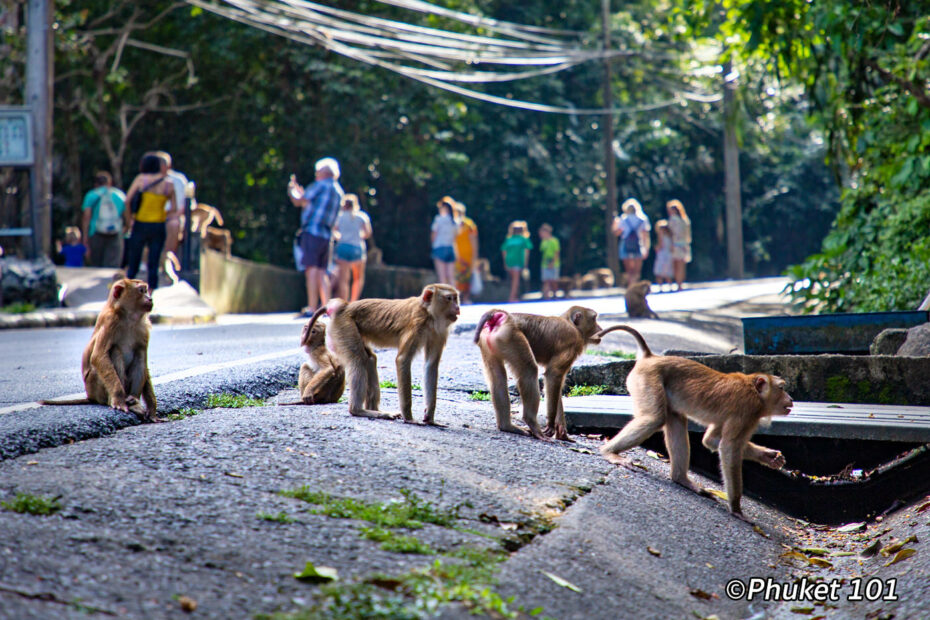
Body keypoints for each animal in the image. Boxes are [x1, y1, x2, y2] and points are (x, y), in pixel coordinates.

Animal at [41, 278, 157, 421]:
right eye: (141, 290)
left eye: (146, 290)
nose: (150, 298)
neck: (128, 317)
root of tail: (90, 396)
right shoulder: (110, 322)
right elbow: (99, 356)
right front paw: (118, 399)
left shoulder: (143, 328)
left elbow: (143, 361)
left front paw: (151, 408)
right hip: (95, 385)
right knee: (114, 351)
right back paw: (120, 401)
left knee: (139, 355)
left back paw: (133, 400)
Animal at [305, 283, 460, 423]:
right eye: (449, 298)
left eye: (456, 298)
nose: (458, 308)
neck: (428, 314)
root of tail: (344, 306)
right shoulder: (416, 326)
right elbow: (403, 360)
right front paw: (409, 418)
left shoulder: (439, 333)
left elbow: (431, 365)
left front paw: (430, 417)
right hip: (344, 326)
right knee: (358, 360)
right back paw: (358, 410)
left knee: (369, 359)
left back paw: (375, 410)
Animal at [474, 306, 604, 441]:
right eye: (594, 318)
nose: (600, 329)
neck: (571, 323)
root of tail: (504, 316)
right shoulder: (572, 341)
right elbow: (553, 374)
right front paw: (551, 424)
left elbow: (553, 383)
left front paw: (562, 431)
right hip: (510, 337)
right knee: (529, 370)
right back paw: (532, 424)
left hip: (492, 342)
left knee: (498, 378)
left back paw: (507, 426)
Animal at [595, 325, 792, 519]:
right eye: (781, 388)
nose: (790, 399)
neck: (755, 393)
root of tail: (651, 357)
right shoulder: (746, 412)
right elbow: (728, 447)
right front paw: (736, 508)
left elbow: (711, 441)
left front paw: (768, 456)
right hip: (647, 380)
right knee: (654, 419)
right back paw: (608, 452)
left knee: (676, 420)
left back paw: (681, 479)